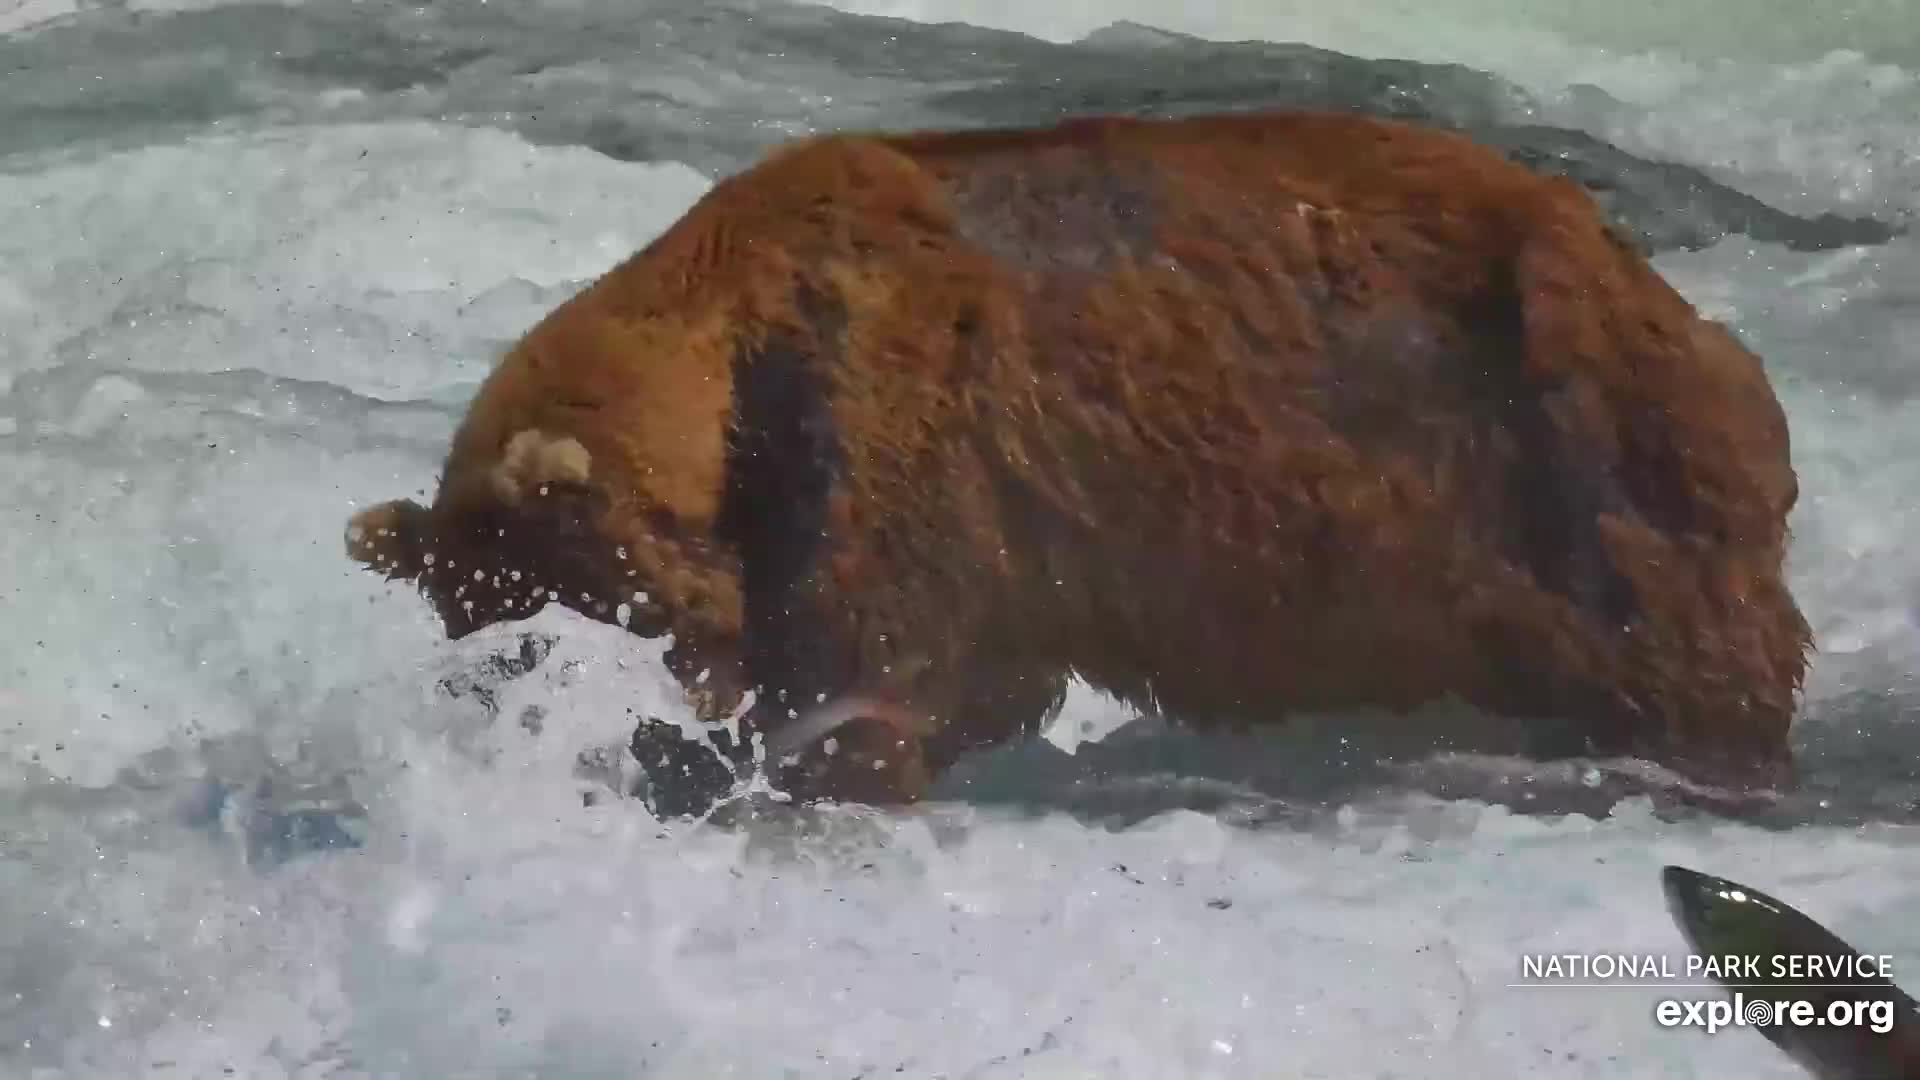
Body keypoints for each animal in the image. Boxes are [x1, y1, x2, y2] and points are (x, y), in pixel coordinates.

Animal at [344, 109, 1812, 813]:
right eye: (479, 630)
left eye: (573, 617)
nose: (517, 722)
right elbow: (969, 675)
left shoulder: (888, 419)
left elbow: (873, 661)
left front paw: (809, 765)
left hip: (1573, 467)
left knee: (1684, 654)